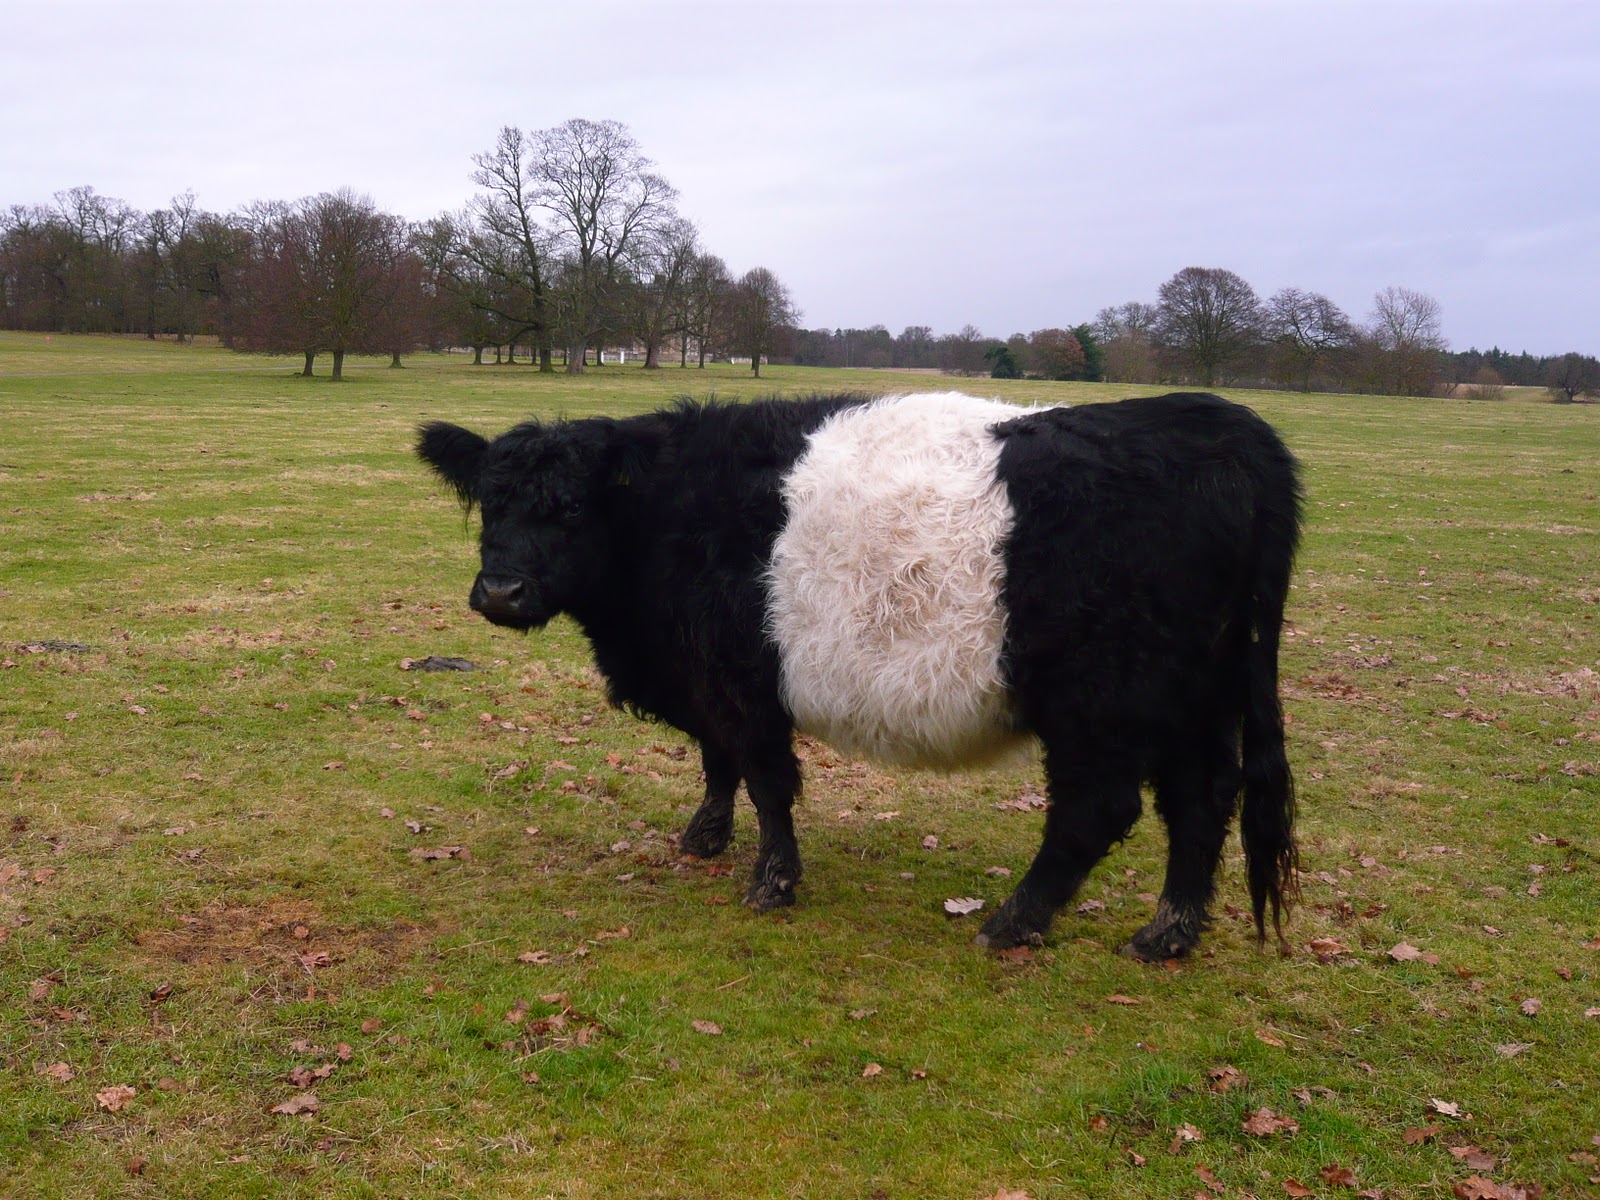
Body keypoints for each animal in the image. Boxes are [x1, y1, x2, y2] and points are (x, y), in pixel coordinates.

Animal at [417, 391, 1302, 960]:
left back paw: (1013, 922)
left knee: (1100, 808)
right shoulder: (706, 678)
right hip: (1198, 695)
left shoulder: (741, 681)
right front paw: (705, 838)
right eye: (489, 504)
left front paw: (772, 882)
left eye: (571, 507)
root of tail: (1224, 424)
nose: (500, 592)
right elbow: (717, 763)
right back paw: (1168, 933)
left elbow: (766, 781)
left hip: (1105, 699)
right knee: (1202, 799)